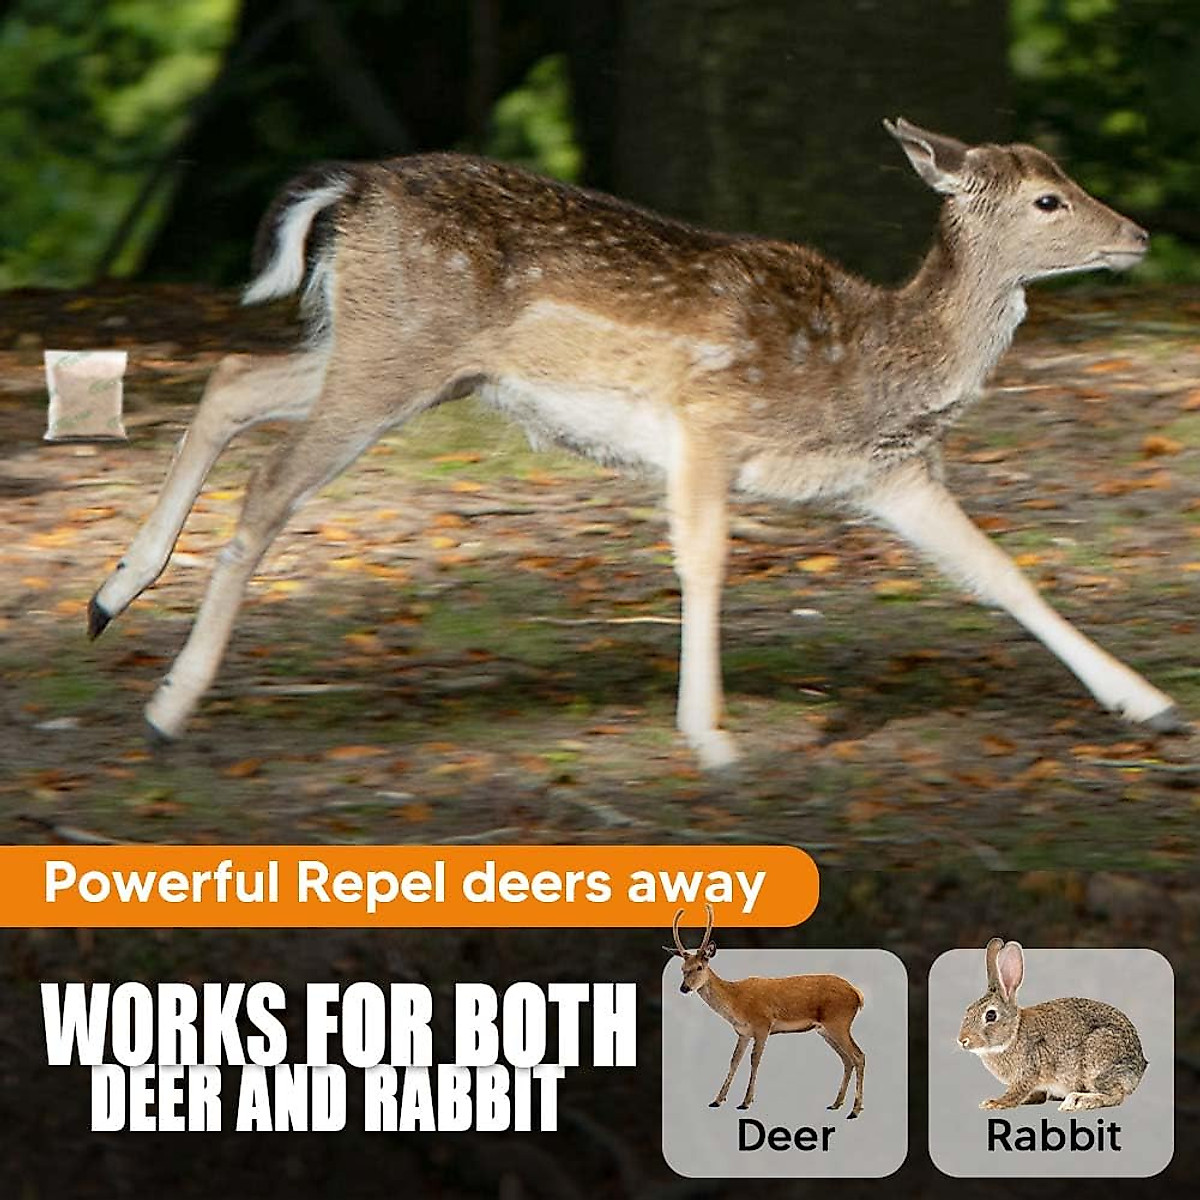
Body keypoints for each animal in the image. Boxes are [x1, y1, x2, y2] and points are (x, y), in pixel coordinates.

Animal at [87, 117, 1188, 766]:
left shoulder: (889, 476)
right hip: (393, 359)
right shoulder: (707, 422)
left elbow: (1002, 573)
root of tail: (348, 190)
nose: (1136, 235)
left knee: (233, 381)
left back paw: (111, 598)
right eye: (1048, 199)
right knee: (271, 481)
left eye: (1065, 175)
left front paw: (1148, 703)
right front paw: (711, 737)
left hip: (394, 356)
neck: (877, 359)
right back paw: (168, 704)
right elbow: (704, 562)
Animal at [666, 905, 866, 1115]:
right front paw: (717, 1100)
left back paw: (855, 1109)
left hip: (839, 1022)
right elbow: (734, 1061)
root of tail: (857, 994)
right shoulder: (743, 1032)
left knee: (858, 1056)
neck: (736, 1003)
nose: (684, 988)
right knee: (847, 1059)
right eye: (682, 968)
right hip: (825, 1029)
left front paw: (746, 1101)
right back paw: (836, 1104)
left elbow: (755, 1060)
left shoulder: (763, 1025)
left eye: (699, 967)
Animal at [958, 937, 1146, 1112]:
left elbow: (1017, 1092)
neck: (1013, 1035)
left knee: (1116, 1095)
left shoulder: (1029, 1069)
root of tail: (1140, 1065)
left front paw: (994, 1103)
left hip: (1097, 1060)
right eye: (968, 1010)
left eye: (991, 1015)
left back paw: (1078, 1101)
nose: (962, 1040)